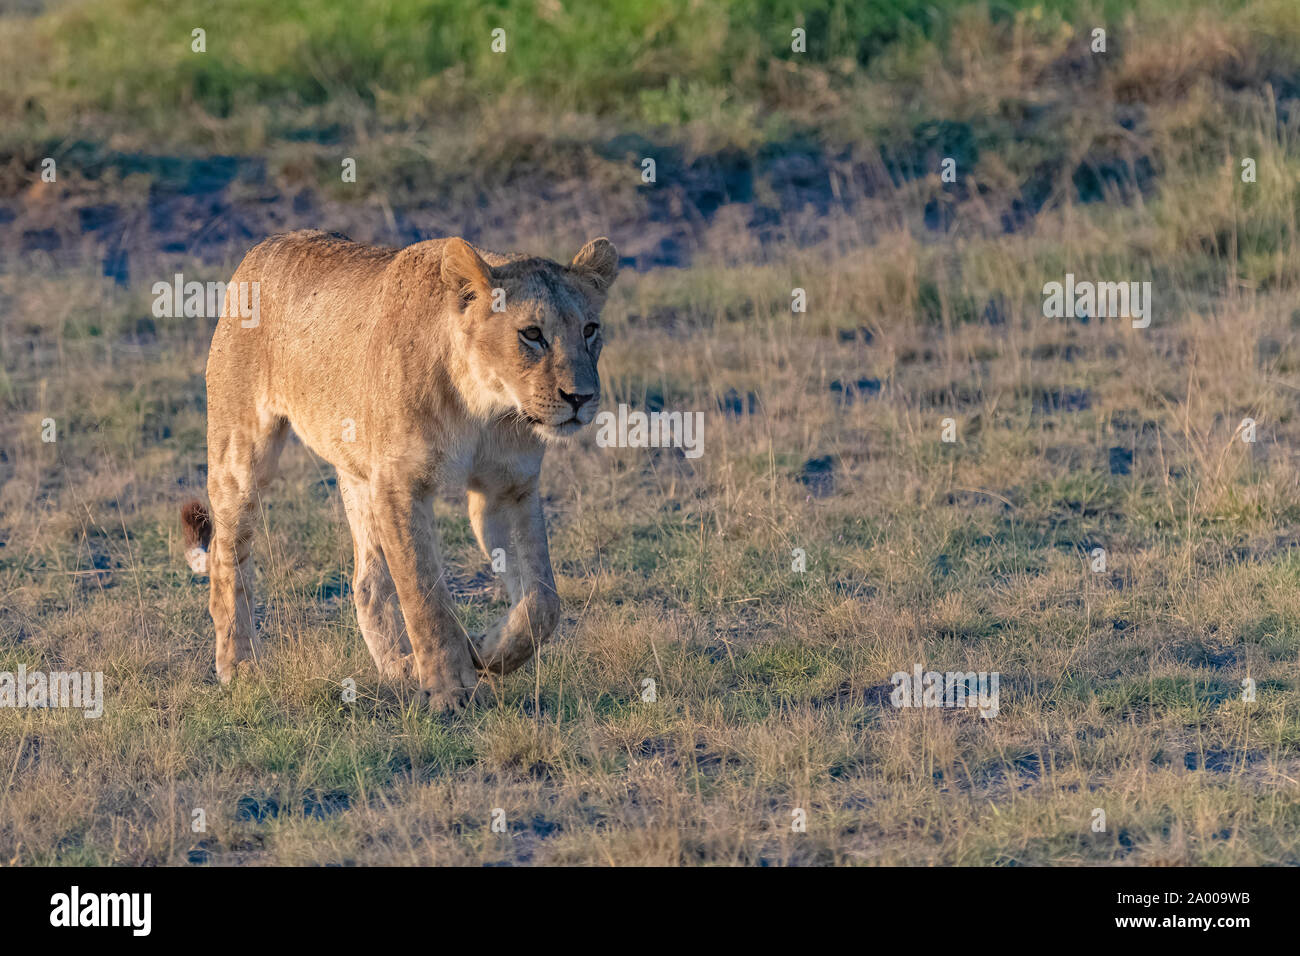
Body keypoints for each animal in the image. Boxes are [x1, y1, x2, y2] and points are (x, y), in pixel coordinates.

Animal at [180, 229, 618, 712]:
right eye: (532, 334)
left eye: (590, 329)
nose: (580, 398)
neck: (485, 405)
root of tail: (266, 244)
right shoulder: (401, 484)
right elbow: (425, 596)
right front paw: (449, 689)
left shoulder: (508, 489)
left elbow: (542, 601)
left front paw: (484, 651)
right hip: (241, 454)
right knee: (227, 556)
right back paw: (239, 665)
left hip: (359, 475)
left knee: (366, 583)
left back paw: (399, 667)